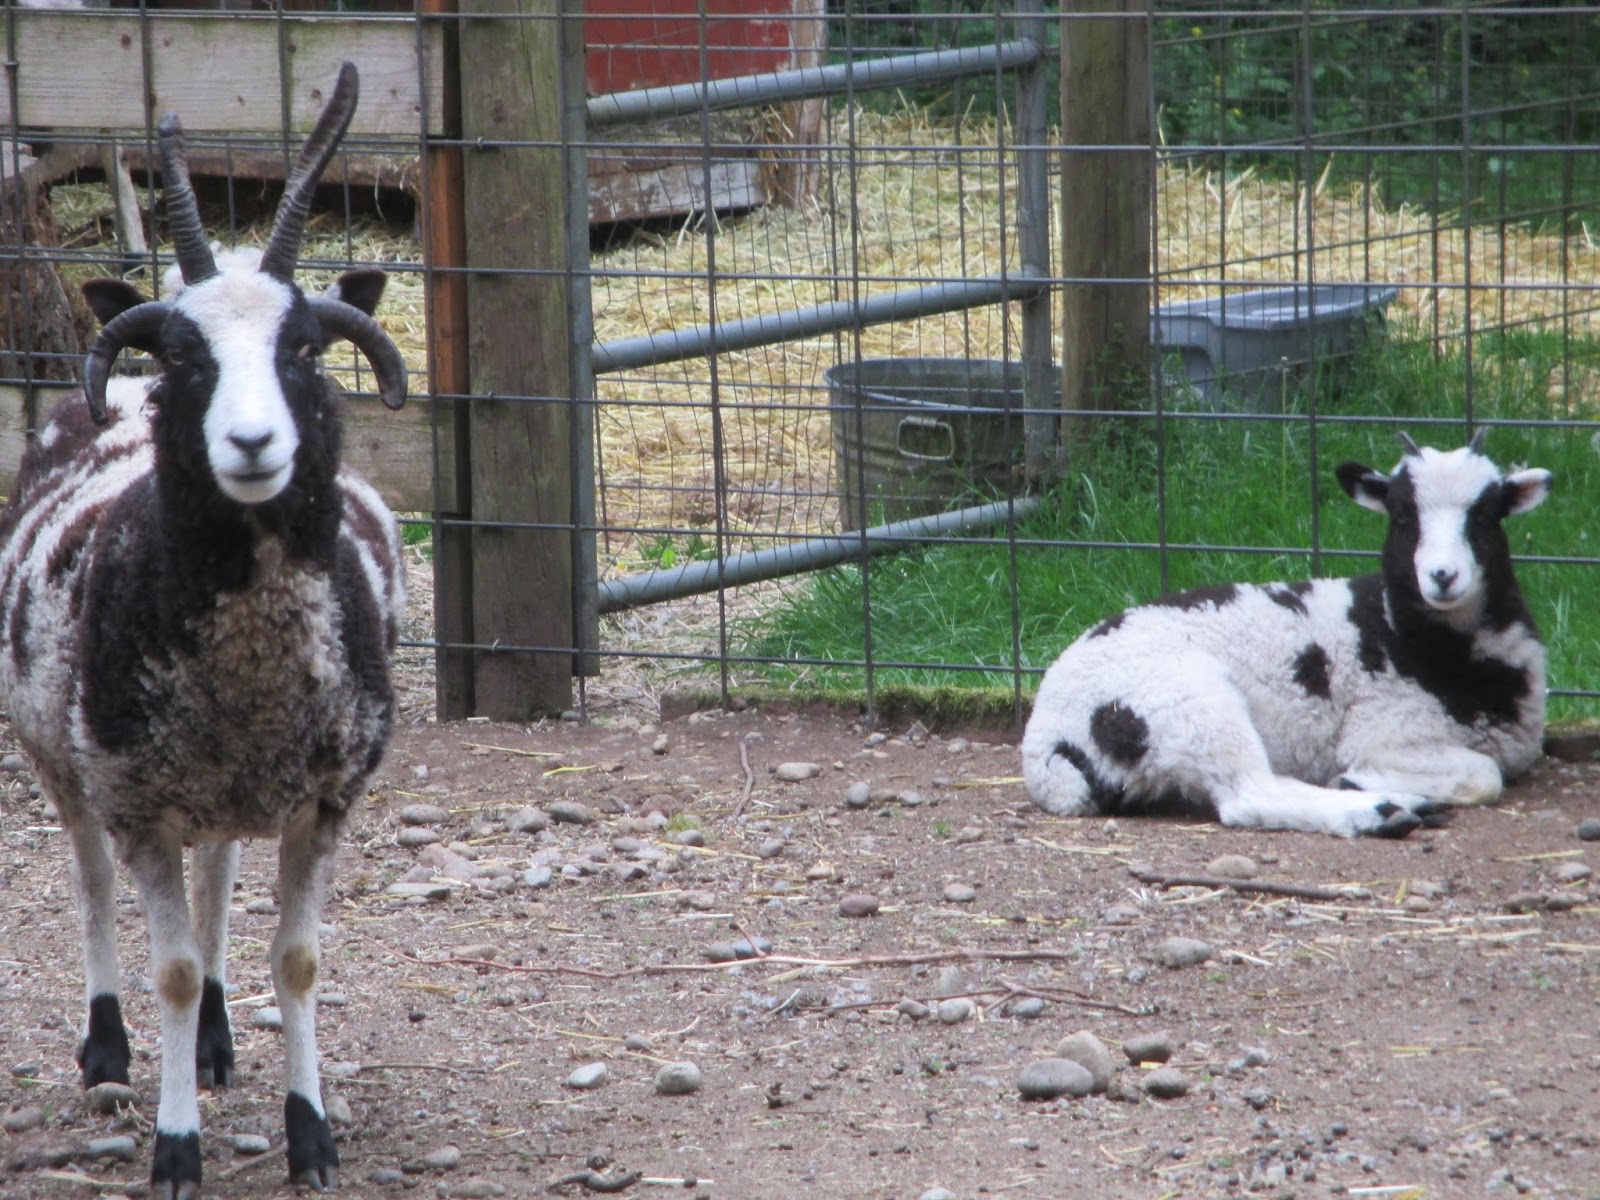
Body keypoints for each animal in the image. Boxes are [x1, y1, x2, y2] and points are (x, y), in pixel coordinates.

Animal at [0, 61, 406, 1195]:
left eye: (304, 347)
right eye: (188, 356)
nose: (254, 443)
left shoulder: (325, 797)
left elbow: (294, 960)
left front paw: (311, 1133)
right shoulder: (135, 799)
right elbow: (171, 969)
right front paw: (176, 1146)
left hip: (220, 785)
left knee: (219, 870)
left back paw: (220, 1040)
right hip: (64, 758)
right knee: (92, 884)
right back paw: (107, 1049)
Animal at [1020, 433, 1550, 838]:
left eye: (1485, 516)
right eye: (1402, 518)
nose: (1442, 576)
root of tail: (1047, 744)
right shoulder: (1384, 729)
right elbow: (1485, 776)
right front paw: (1356, 780)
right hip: (1188, 702)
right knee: (1250, 794)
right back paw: (1379, 810)